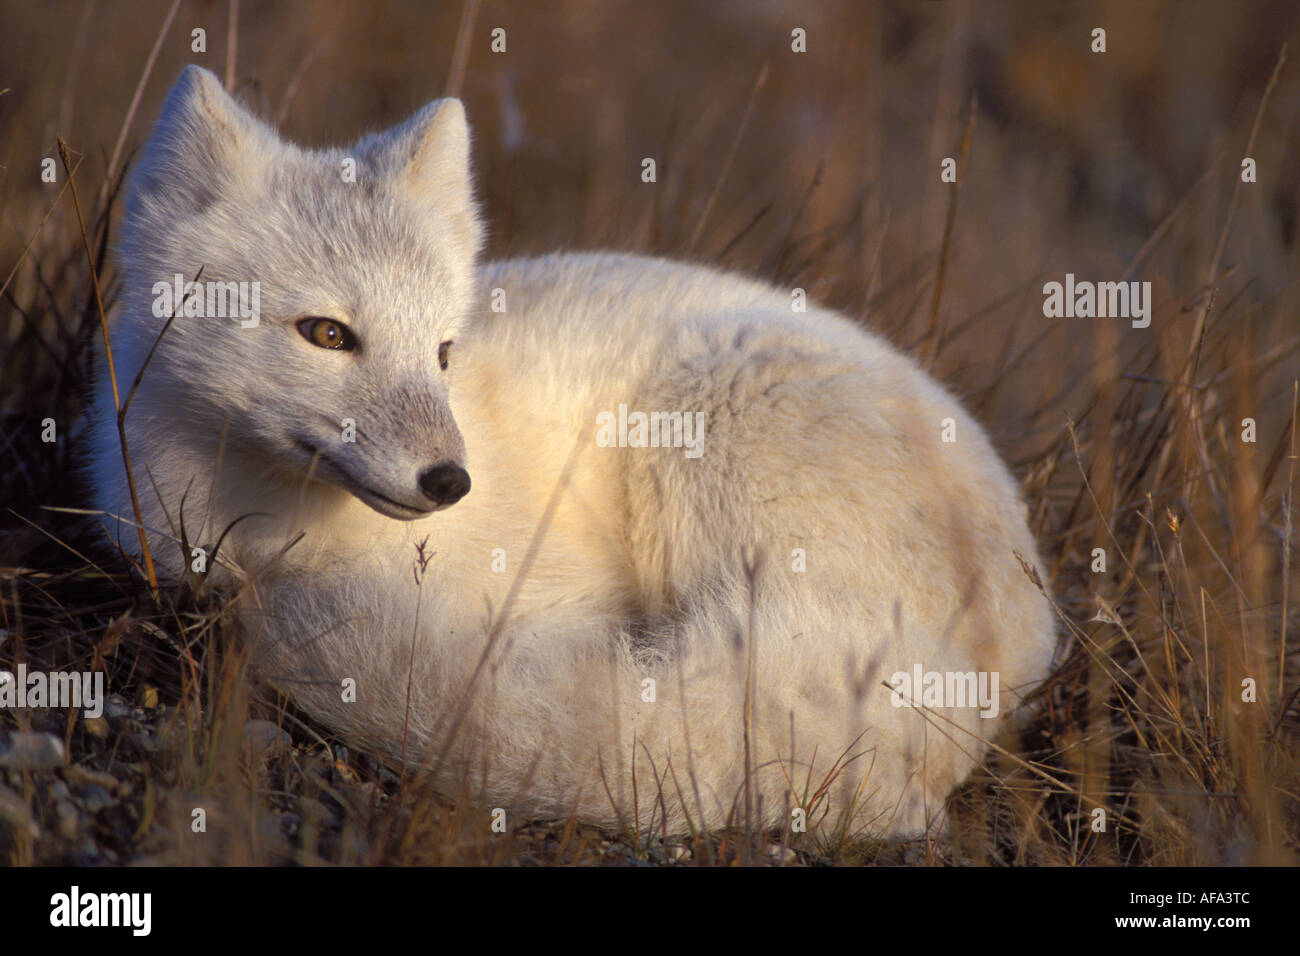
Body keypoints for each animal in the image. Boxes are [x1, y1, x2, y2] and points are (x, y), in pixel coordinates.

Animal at [88, 65, 1058, 839]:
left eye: (442, 352)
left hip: (700, 435)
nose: (449, 481)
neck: (258, 520)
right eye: (326, 334)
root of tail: (1014, 642)